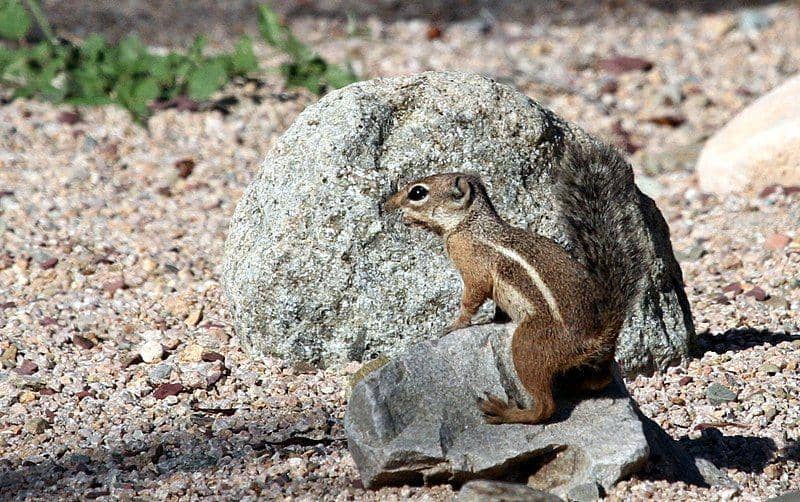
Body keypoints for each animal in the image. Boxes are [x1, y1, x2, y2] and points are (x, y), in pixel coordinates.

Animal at [382, 142, 644, 424]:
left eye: (418, 192)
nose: (386, 205)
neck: (469, 225)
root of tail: (597, 337)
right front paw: (494, 318)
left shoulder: (475, 269)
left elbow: (471, 299)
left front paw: (454, 325)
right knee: (600, 380)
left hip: (526, 346)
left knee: (545, 407)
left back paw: (506, 412)